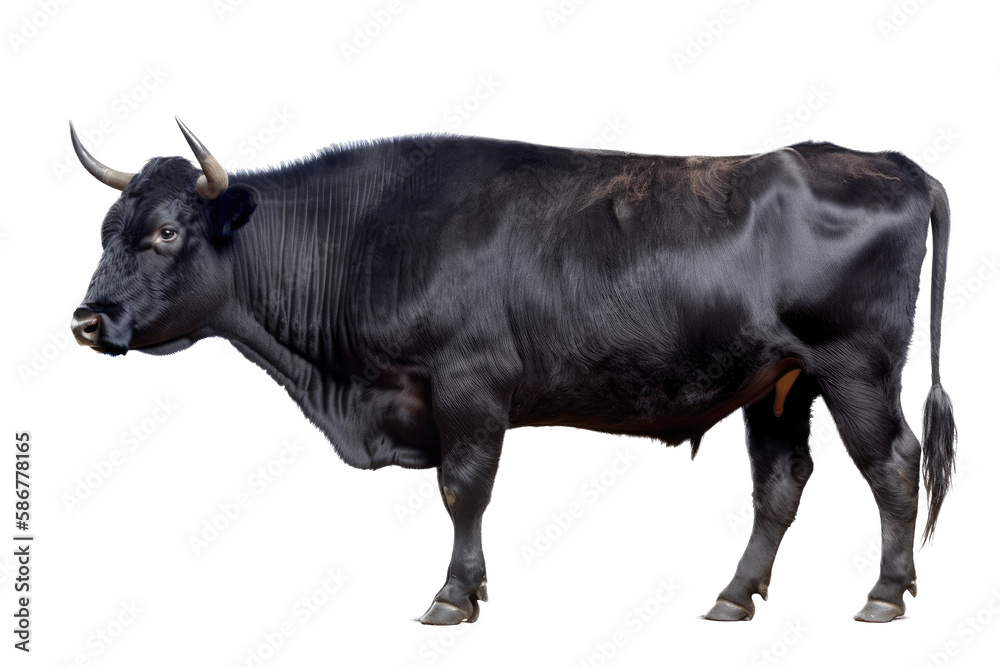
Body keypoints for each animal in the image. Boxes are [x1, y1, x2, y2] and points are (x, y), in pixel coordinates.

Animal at [70, 118, 956, 625]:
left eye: (167, 231)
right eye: (108, 228)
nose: (86, 319)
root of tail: (885, 160)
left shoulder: (468, 384)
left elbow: (464, 488)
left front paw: (454, 594)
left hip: (855, 364)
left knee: (891, 462)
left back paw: (885, 593)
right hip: (778, 383)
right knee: (780, 482)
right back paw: (734, 596)